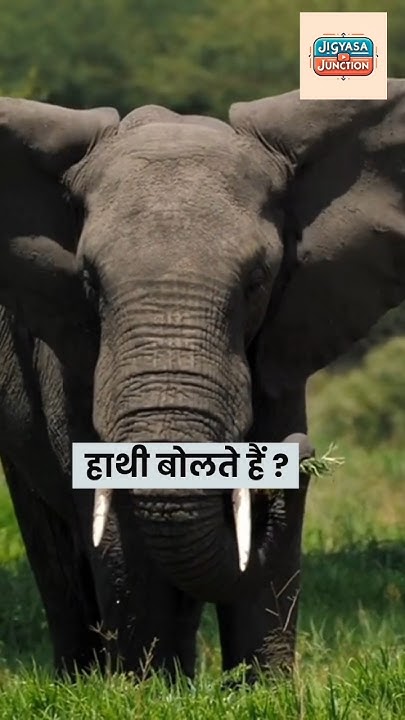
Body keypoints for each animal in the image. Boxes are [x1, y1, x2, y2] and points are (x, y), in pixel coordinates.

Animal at [1, 79, 405, 681]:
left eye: (258, 279)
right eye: (89, 281)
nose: (306, 454)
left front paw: (263, 690)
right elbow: (117, 532)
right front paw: (149, 690)